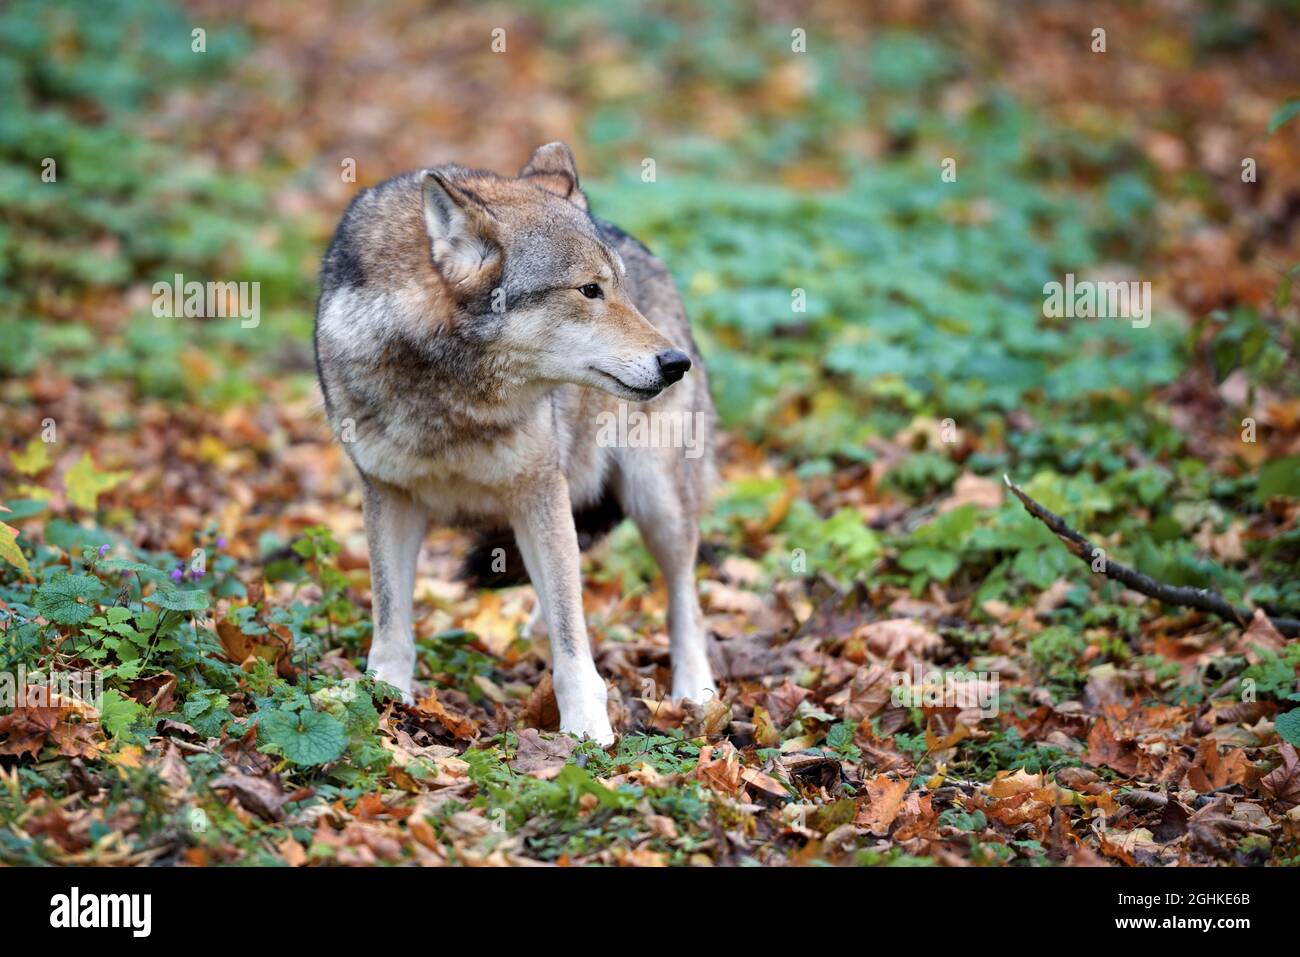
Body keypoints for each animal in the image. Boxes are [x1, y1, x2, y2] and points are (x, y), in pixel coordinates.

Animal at [314, 142, 717, 744]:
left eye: (619, 289)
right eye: (590, 290)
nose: (676, 363)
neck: (452, 398)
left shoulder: (539, 492)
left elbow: (574, 644)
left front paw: (588, 734)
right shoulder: (388, 496)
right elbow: (390, 624)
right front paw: (381, 700)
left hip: (657, 501)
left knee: (682, 596)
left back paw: (695, 692)